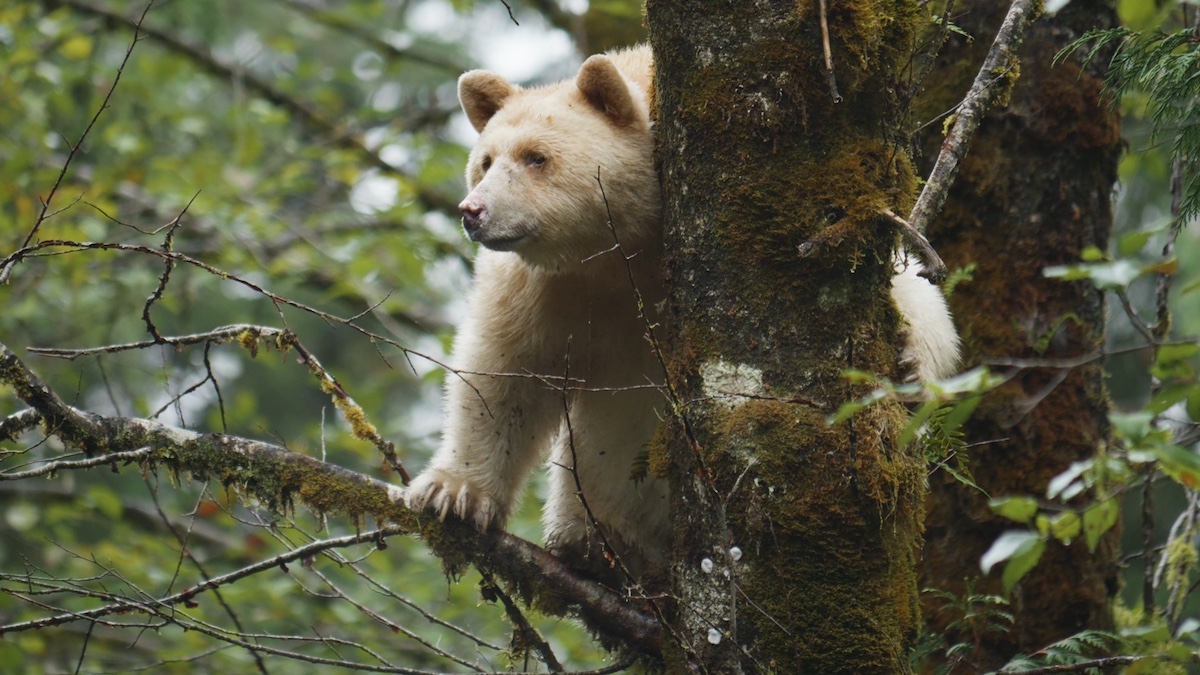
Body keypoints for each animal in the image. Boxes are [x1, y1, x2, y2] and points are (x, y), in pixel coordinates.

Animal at [404, 44, 960, 578]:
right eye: (485, 161)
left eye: (536, 157)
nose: (473, 211)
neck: (622, 250)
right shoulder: (547, 289)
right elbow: (502, 372)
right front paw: (453, 492)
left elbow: (904, 284)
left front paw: (910, 362)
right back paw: (596, 546)